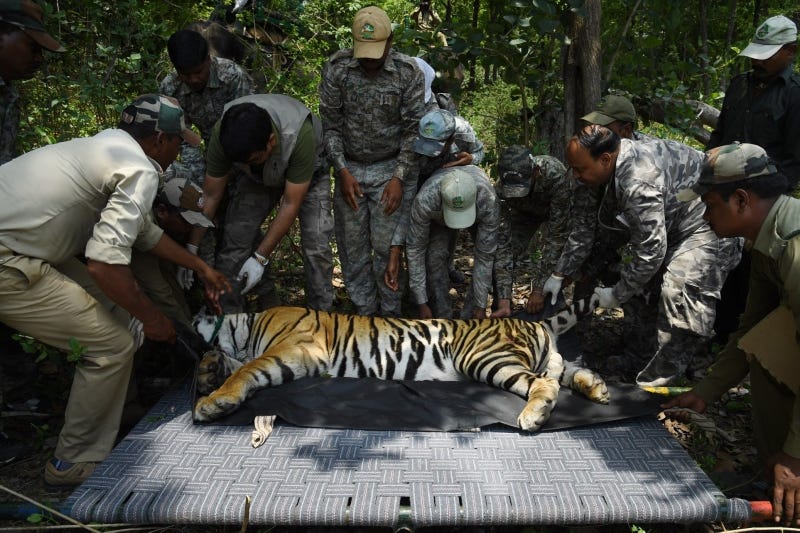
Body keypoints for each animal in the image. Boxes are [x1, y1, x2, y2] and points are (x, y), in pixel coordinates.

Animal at [192, 297, 609, 431]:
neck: (244, 326)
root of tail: (534, 321)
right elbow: (234, 363)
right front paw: (209, 370)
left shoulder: (298, 350)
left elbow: (248, 369)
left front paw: (212, 402)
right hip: (542, 358)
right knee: (566, 370)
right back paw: (598, 389)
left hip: (486, 357)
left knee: (544, 384)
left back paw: (534, 414)